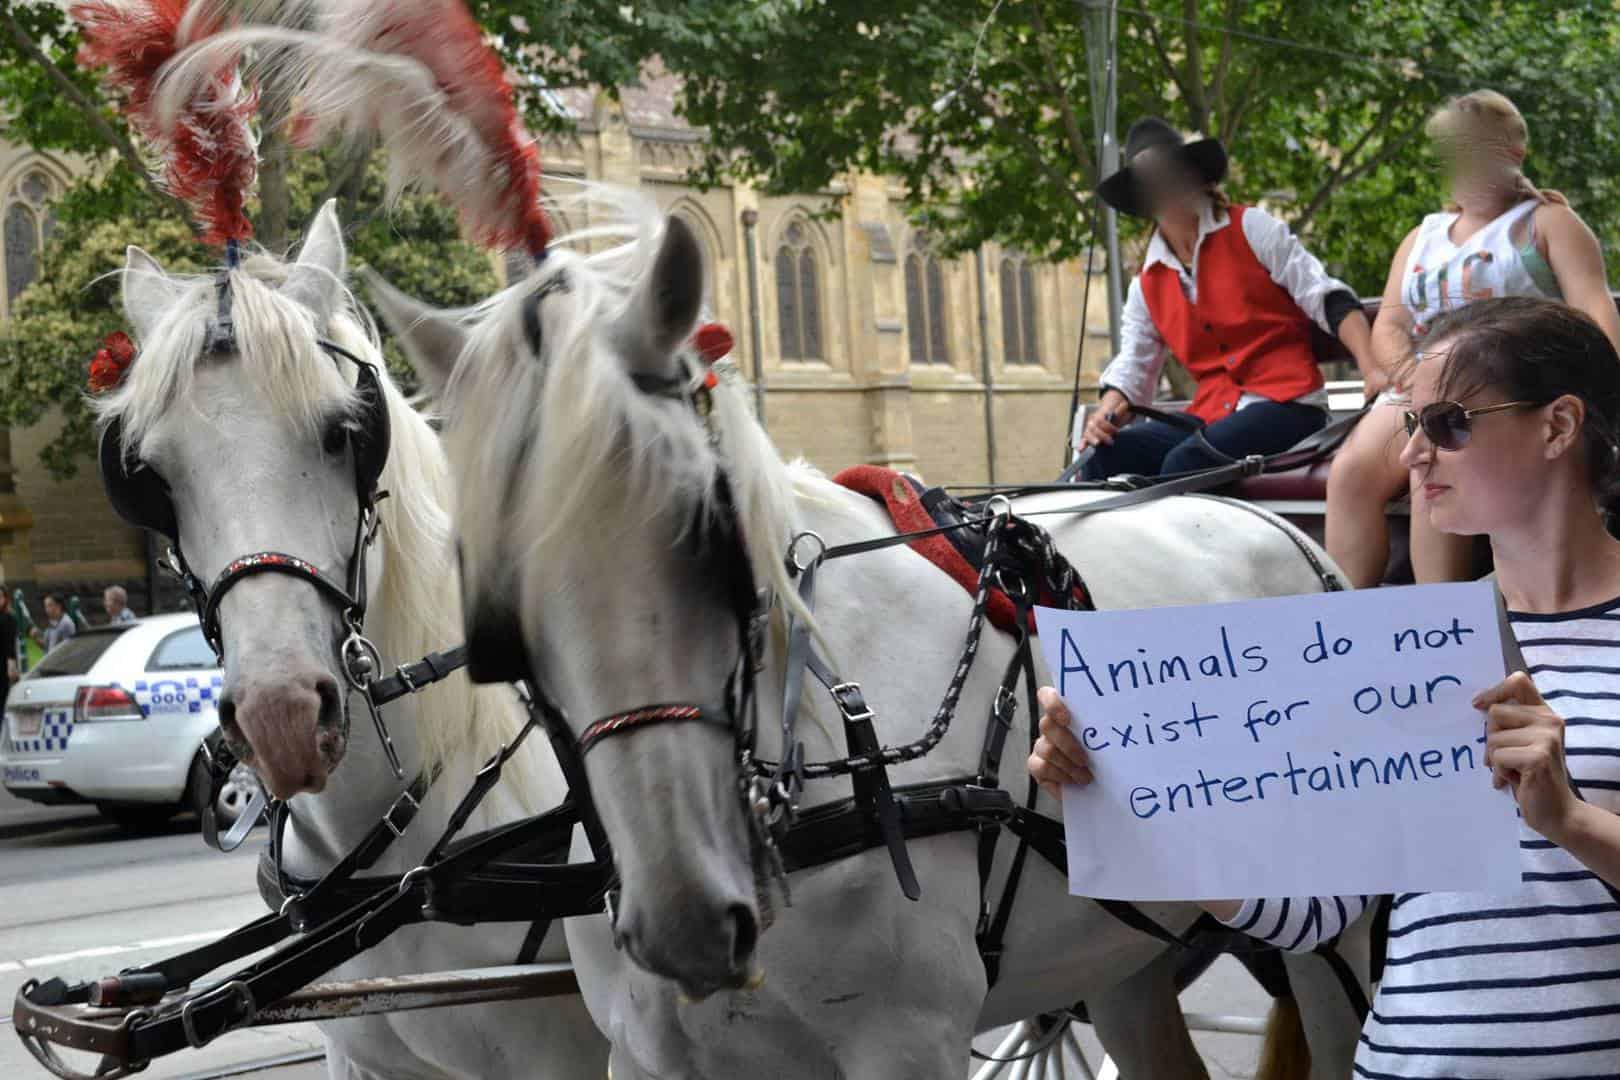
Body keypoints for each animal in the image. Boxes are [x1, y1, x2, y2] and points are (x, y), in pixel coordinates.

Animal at [367, 188, 1370, 1079]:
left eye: (714, 533)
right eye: (492, 596)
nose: (687, 913)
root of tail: (1266, 517)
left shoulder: (905, 1045)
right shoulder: (651, 1057)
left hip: (1340, 926)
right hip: (1125, 944)